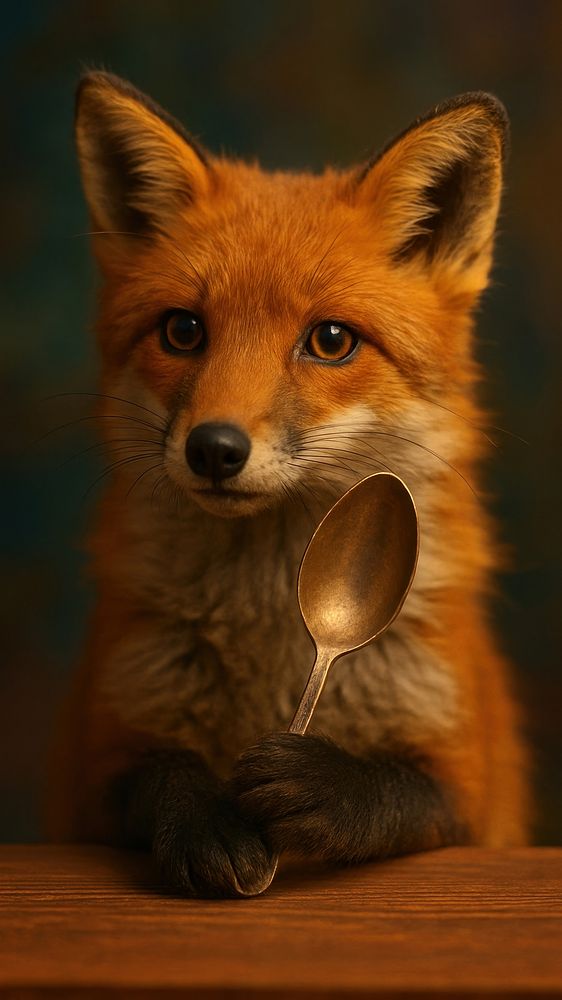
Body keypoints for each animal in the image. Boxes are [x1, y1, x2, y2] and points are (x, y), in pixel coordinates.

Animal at [46, 71, 530, 898]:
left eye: (330, 341)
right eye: (183, 331)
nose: (214, 449)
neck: (273, 627)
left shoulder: (469, 784)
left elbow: (392, 794)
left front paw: (321, 786)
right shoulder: (99, 760)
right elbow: (165, 773)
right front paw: (208, 822)